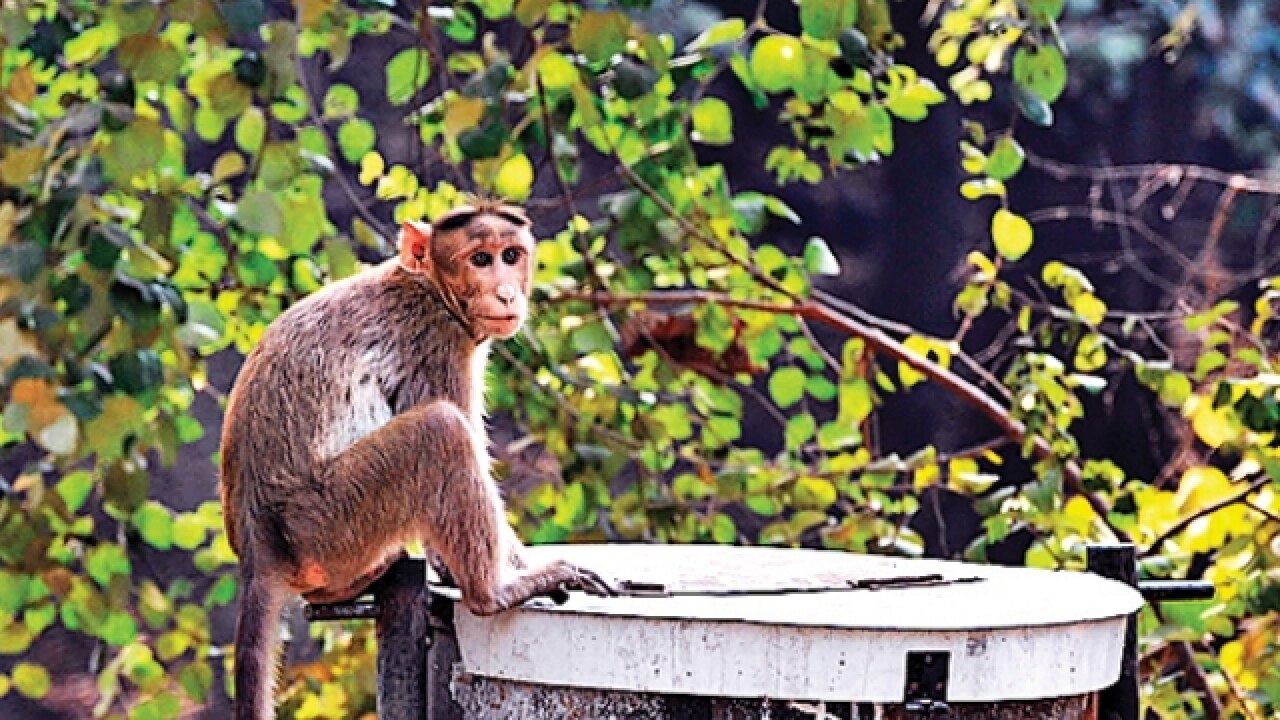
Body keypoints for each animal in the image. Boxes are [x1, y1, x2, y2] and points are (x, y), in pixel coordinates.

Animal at [219, 200, 616, 720]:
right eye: (480, 260)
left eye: (511, 255)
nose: (506, 292)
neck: (428, 286)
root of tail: (257, 547)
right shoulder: (439, 344)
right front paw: (517, 570)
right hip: (328, 523)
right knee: (441, 431)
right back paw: (492, 593)